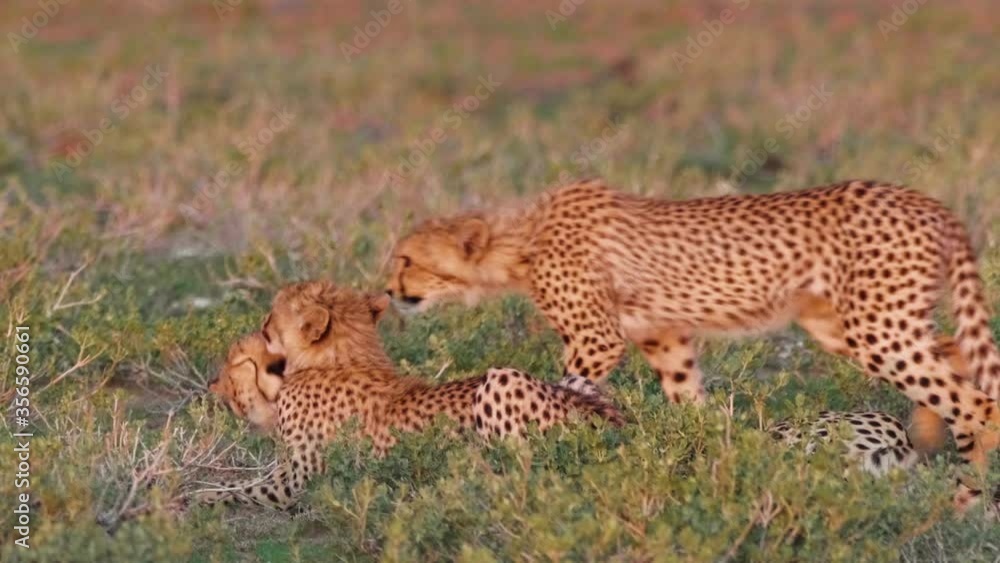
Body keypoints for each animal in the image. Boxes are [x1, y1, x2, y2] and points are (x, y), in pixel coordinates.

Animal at [195, 282, 622, 509]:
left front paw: (193, 497)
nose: (212, 384)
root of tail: (615, 426)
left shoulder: (298, 478)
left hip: (500, 378)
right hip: (577, 380)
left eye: (269, 322)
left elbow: (240, 490)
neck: (340, 357)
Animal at [387, 178, 1000, 473]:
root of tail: (927, 202)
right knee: (953, 354)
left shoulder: (596, 338)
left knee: (974, 400)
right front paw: (703, 448)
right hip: (854, 325)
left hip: (878, 327)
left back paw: (972, 486)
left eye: (407, 259)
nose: (390, 292)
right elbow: (688, 401)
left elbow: (571, 385)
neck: (519, 241)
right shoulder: (665, 336)